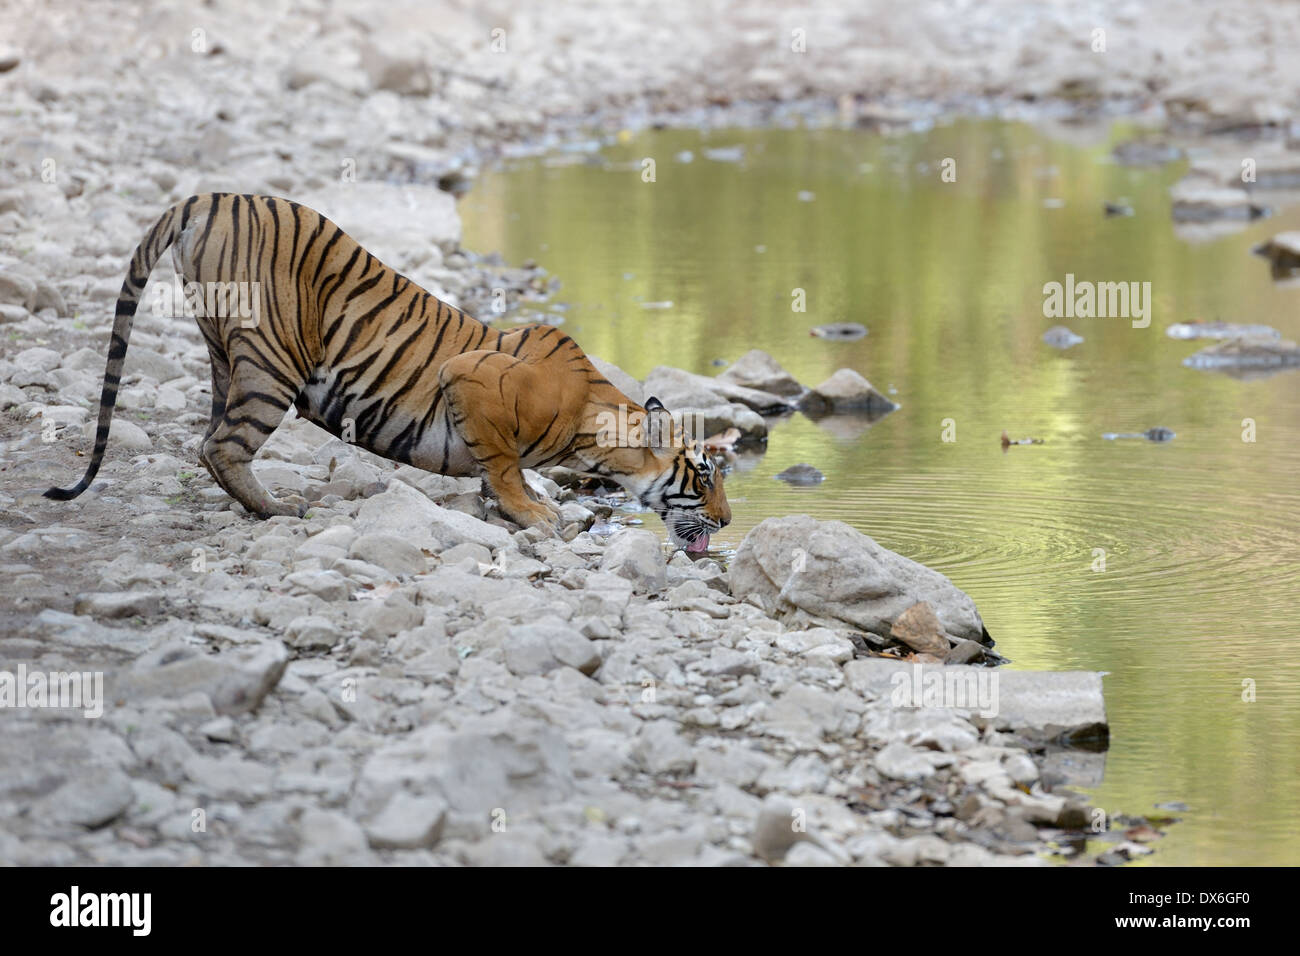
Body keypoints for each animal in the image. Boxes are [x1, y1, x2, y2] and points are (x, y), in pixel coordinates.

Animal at [45, 193, 731, 553]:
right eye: (704, 478)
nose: (727, 522)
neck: (593, 428)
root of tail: (211, 195)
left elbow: (502, 472)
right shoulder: (469, 378)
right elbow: (505, 465)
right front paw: (537, 516)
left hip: (224, 353)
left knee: (209, 438)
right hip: (272, 361)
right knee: (221, 445)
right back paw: (278, 510)